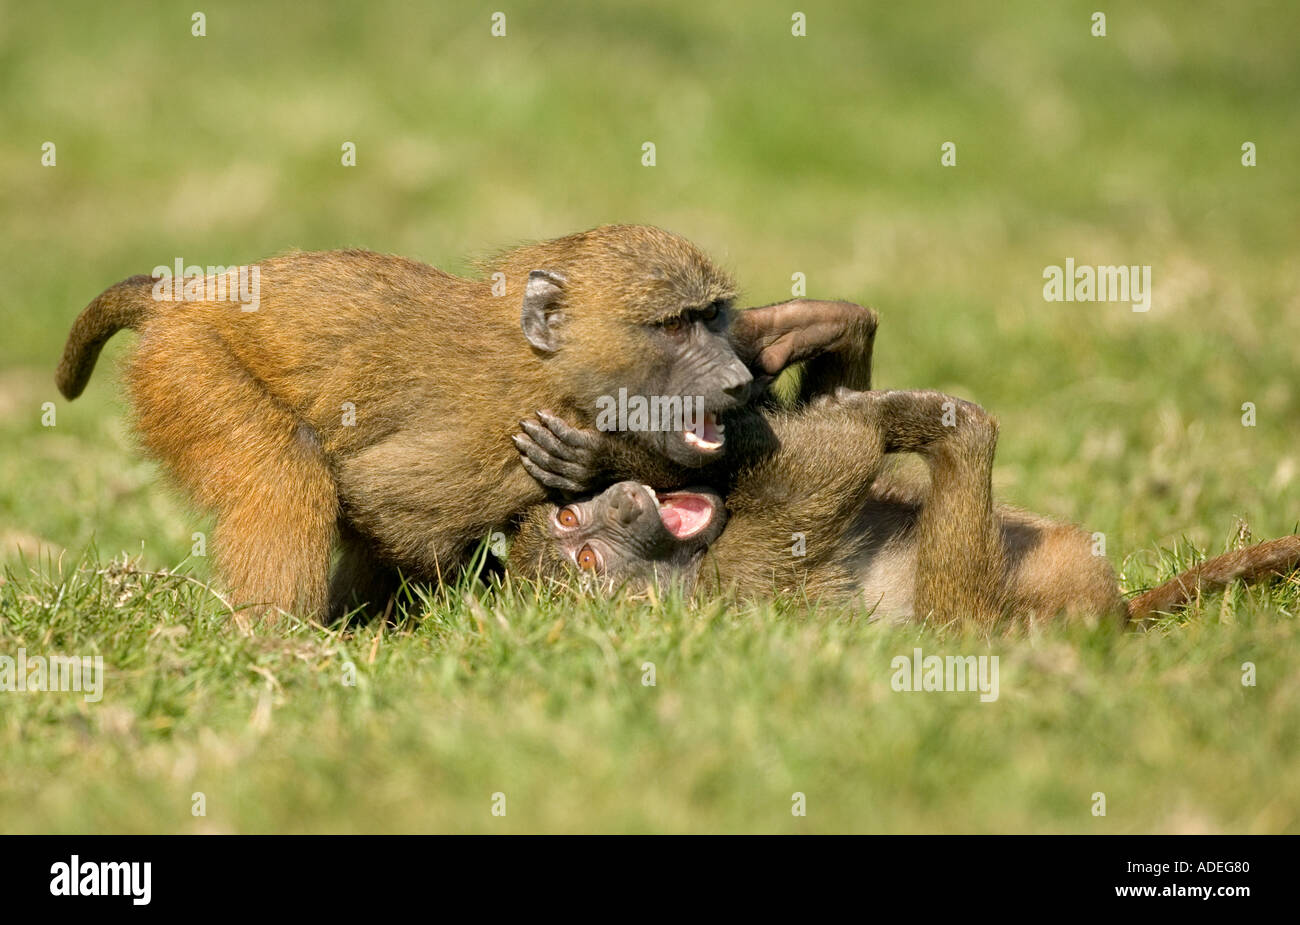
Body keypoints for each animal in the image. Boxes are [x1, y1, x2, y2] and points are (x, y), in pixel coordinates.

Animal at [55, 224, 876, 622]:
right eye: (673, 327)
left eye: (711, 317)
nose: (734, 379)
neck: (555, 370)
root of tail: (185, 299)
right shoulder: (492, 435)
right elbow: (383, 504)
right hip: (190, 368)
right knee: (285, 474)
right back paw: (276, 650)